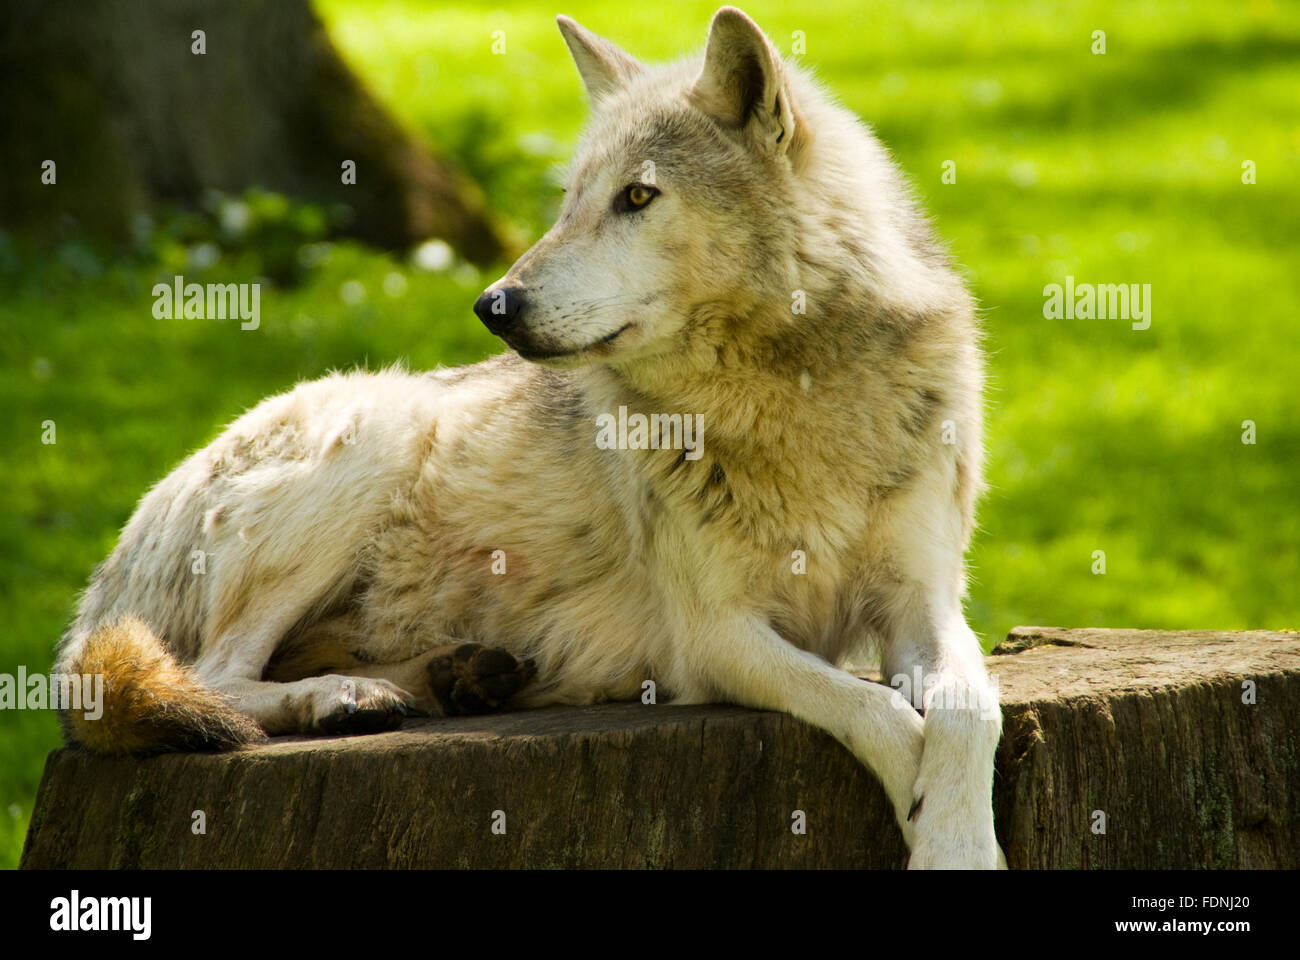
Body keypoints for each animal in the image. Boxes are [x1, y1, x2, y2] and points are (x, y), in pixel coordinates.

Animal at [56, 7, 1004, 869]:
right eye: (571, 200)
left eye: (637, 197)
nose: (492, 305)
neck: (788, 399)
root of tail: (91, 601)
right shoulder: (715, 637)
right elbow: (881, 713)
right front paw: (932, 823)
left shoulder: (922, 602)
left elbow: (969, 707)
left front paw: (956, 838)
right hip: (380, 432)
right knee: (214, 680)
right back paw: (345, 697)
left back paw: (450, 681)